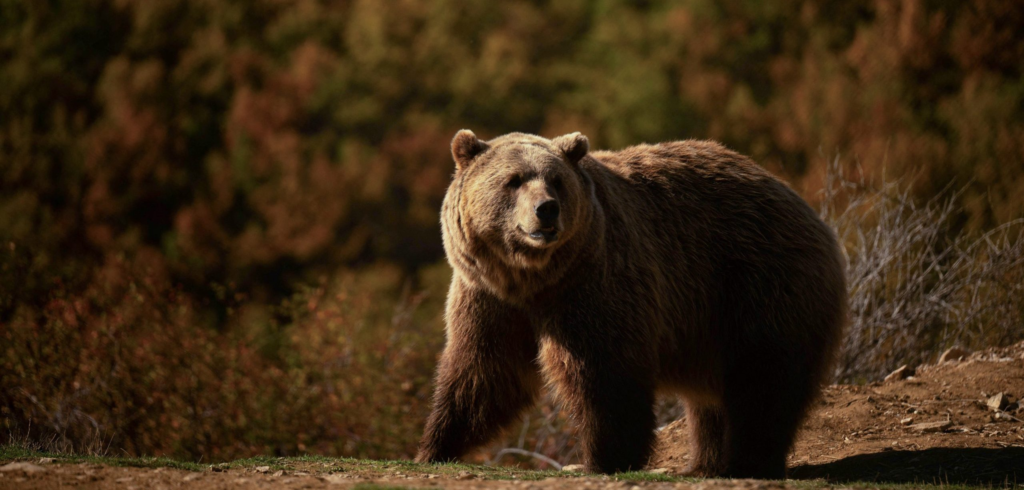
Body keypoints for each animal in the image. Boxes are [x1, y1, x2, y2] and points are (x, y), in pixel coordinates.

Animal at [415, 130, 846, 478]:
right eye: (513, 180)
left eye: (556, 180)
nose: (546, 209)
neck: (532, 277)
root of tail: (807, 208)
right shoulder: (489, 298)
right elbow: (483, 372)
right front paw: (435, 446)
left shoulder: (592, 286)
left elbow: (603, 373)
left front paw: (604, 458)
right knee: (712, 400)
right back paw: (704, 463)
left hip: (757, 283)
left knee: (764, 380)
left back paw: (746, 462)